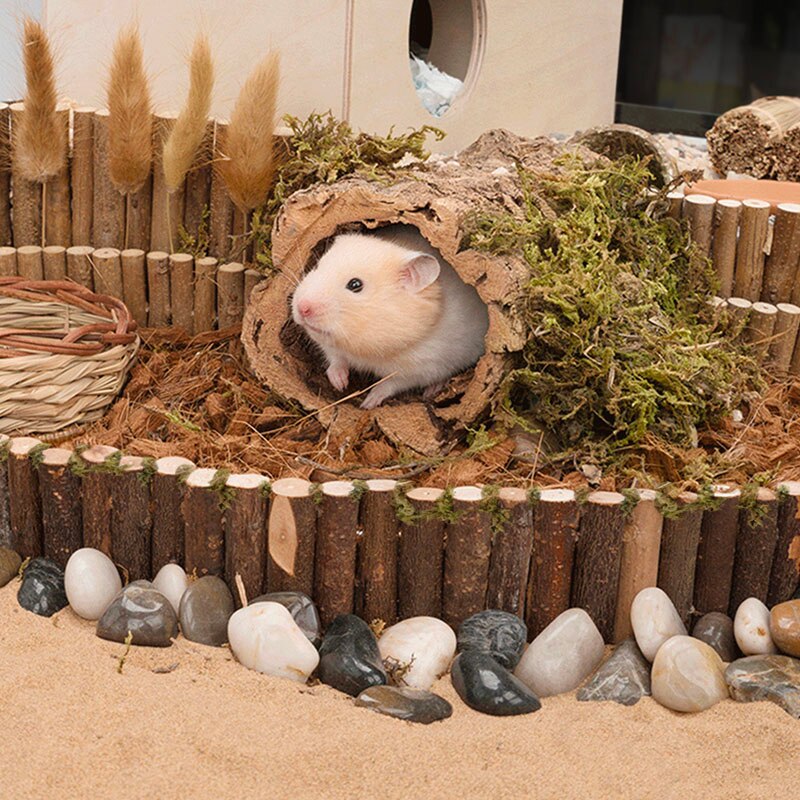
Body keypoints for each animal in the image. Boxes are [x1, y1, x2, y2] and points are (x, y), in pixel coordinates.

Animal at [290, 224, 489, 409]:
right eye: (317, 266)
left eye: (355, 285)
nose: (302, 308)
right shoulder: (331, 346)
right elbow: (336, 359)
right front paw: (340, 383)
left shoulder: (420, 370)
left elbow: (390, 384)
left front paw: (368, 403)